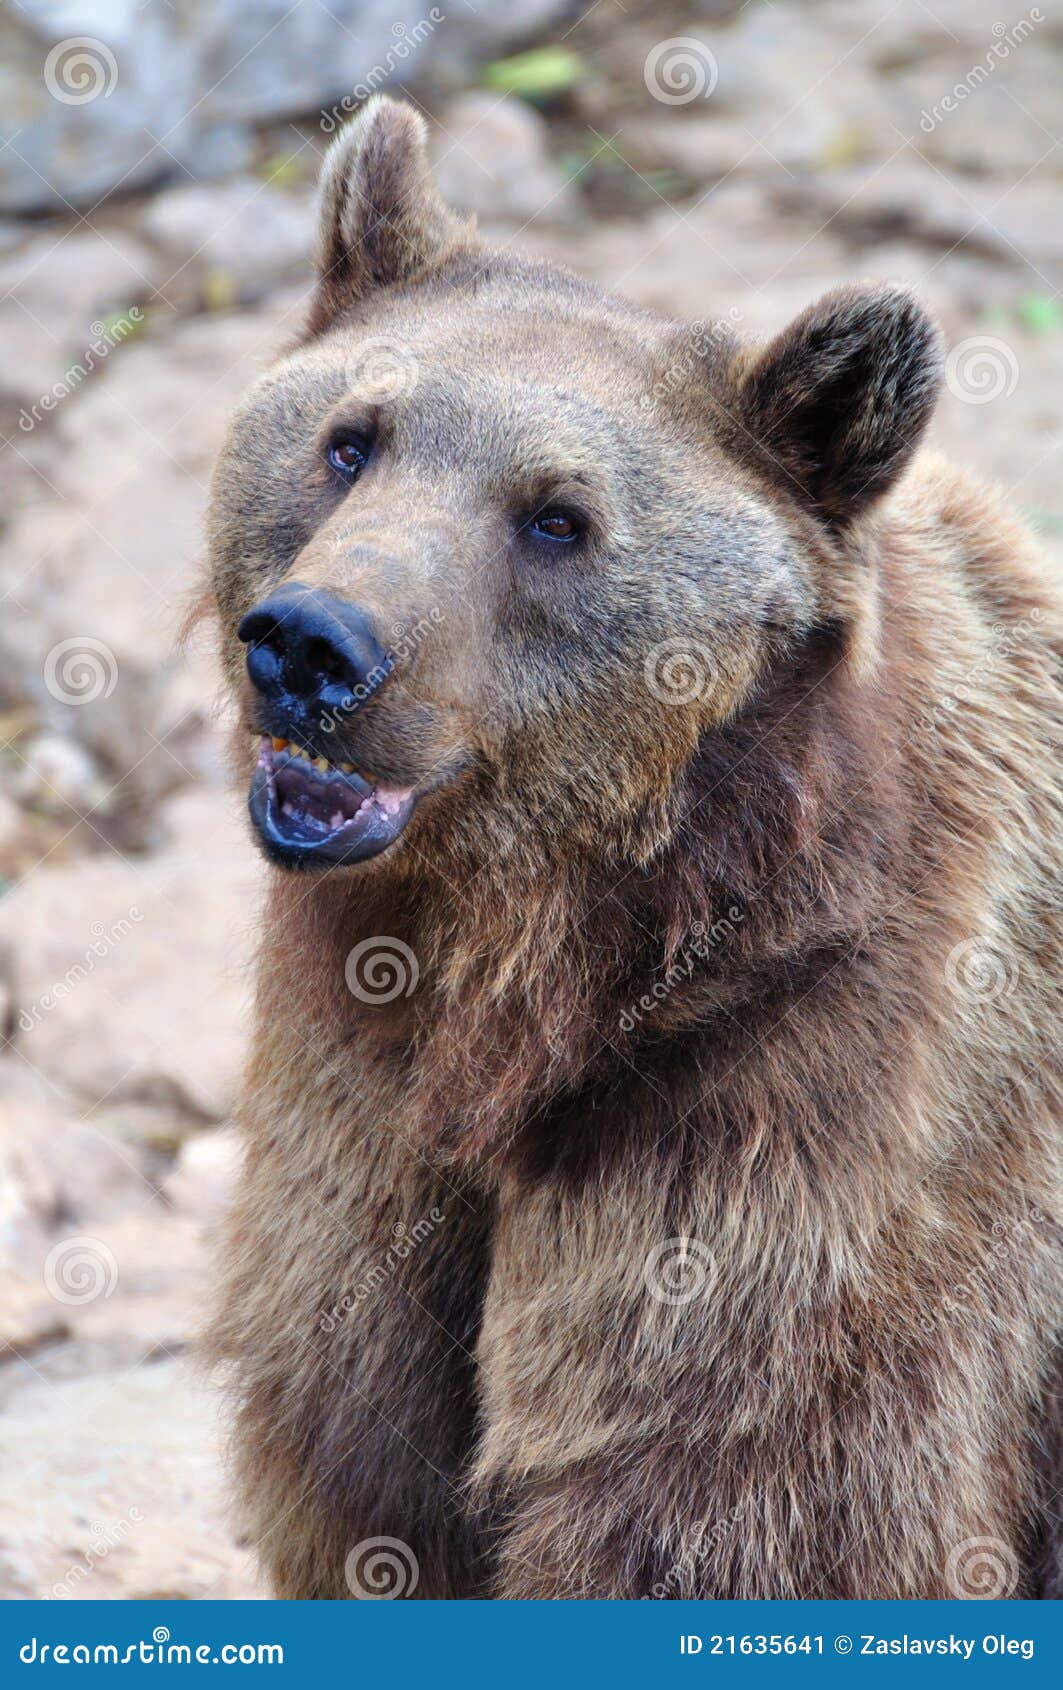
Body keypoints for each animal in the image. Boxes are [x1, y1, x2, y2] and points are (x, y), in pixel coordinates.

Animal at [204, 95, 1063, 1600]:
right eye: (349, 438)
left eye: (557, 517)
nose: (312, 644)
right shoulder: (360, 1108)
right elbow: (365, 1448)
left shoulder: (791, 1123)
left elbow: (711, 1495)